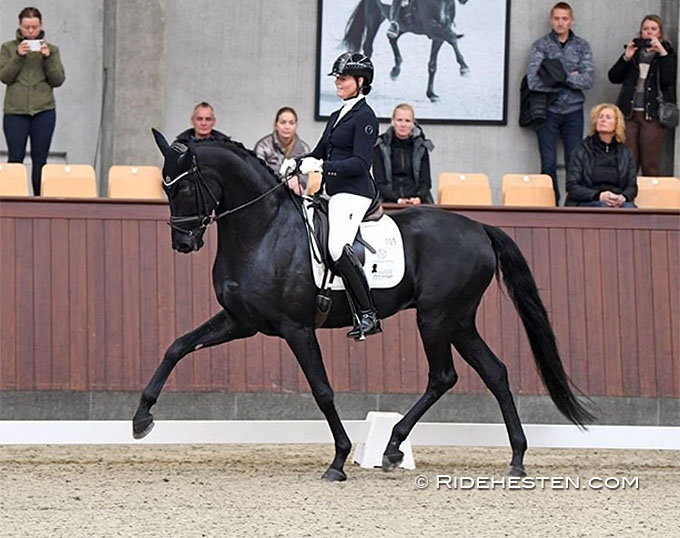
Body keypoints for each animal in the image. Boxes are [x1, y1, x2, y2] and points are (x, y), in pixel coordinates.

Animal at [132, 130, 593, 482]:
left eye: (185, 186)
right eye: (164, 187)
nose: (183, 242)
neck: (263, 229)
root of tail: (479, 226)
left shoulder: (296, 329)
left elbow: (322, 390)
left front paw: (338, 460)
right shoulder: (239, 321)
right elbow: (177, 346)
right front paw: (141, 419)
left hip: (436, 319)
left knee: (444, 376)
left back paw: (395, 446)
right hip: (458, 321)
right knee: (494, 373)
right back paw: (512, 457)